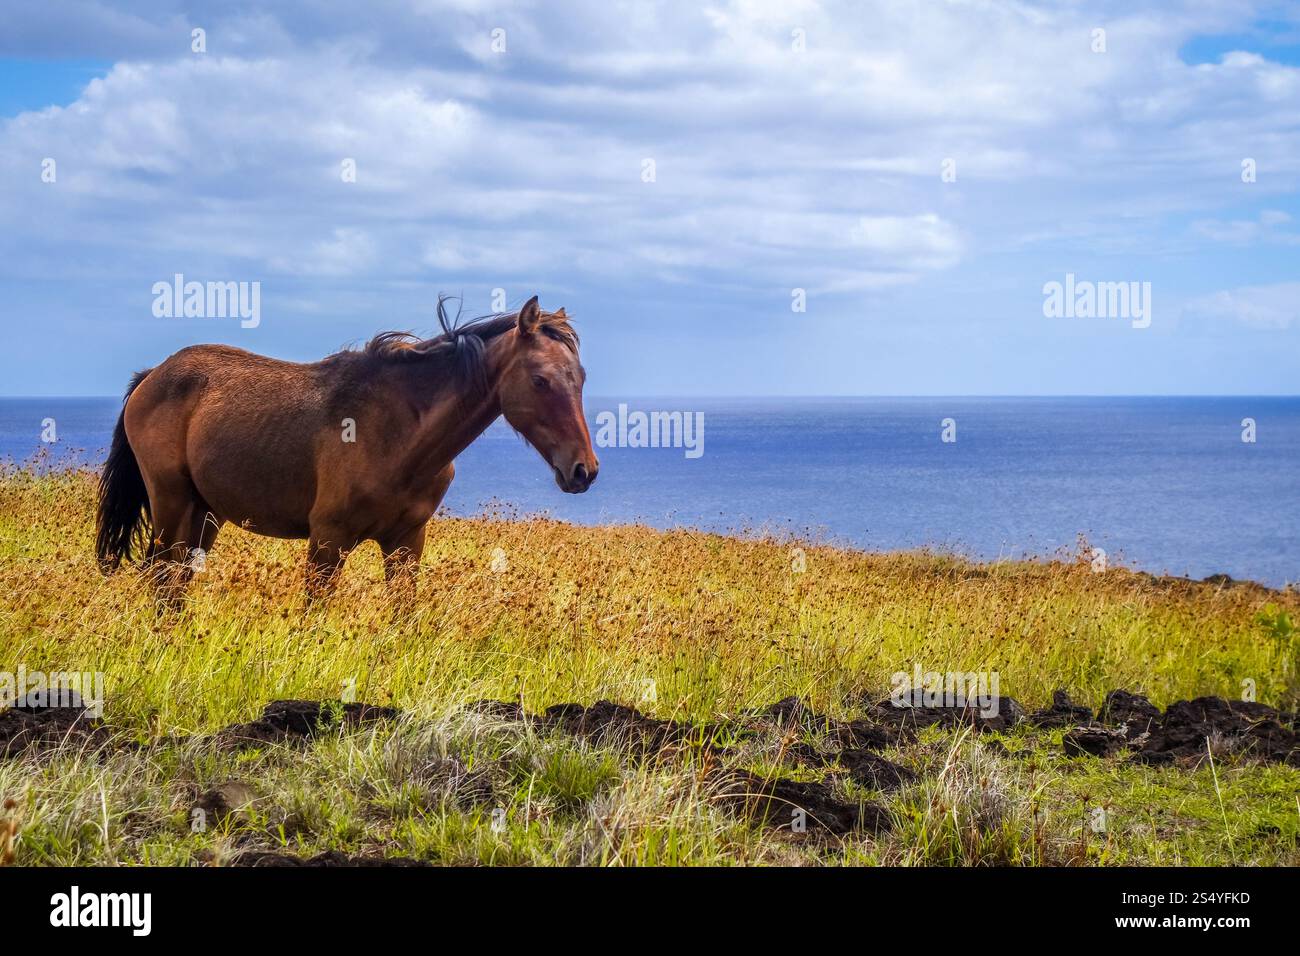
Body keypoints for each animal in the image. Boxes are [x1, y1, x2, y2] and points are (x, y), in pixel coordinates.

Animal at [95, 295, 598, 599]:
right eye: (540, 380)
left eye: (581, 378)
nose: (584, 470)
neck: (399, 435)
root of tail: (153, 377)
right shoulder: (327, 542)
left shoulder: (406, 543)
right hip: (172, 505)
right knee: (163, 579)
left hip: (205, 514)